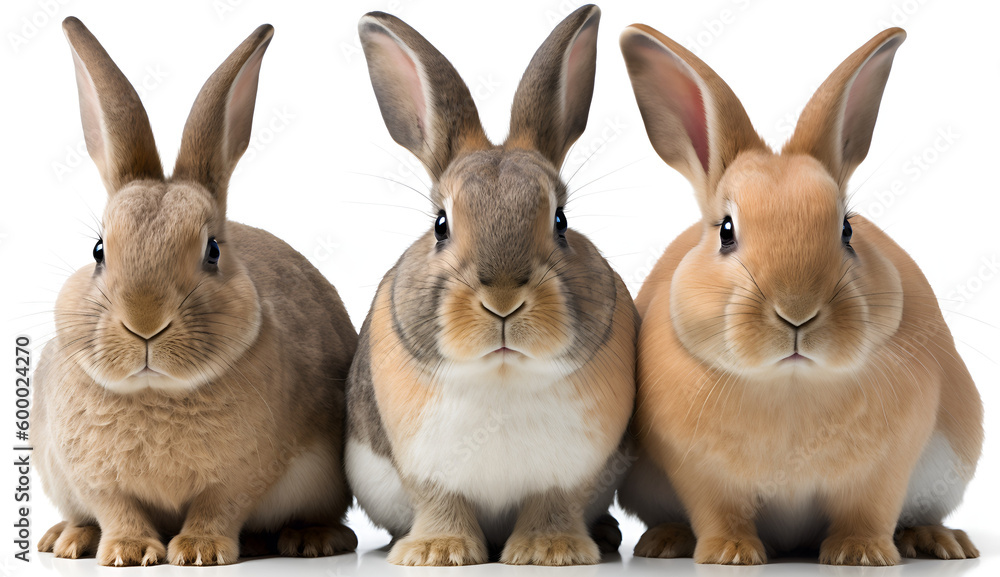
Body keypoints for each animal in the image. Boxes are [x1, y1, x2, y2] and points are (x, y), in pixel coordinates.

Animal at [33, 18, 359, 566]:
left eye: (212, 251)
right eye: (98, 251)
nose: (145, 322)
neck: (156, 390)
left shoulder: (239, 478)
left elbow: (218, 507)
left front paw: (199, 552)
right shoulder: (97, 481)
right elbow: (117, 508)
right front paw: (128, 553)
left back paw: (309, 540)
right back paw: (68, 539)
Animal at [345, 5, 638, 567]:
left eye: (561, 220)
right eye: (441, 224)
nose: (503, 300)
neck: (503, 374)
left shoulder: (569, 474)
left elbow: (552, 504)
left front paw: (550, 552)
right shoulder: (428, 471)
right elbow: (442, 503)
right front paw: (436, 552)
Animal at [616, 24, 983, 566]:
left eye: (847, 230)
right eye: (726, 231)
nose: (797, 312)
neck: (789, 383)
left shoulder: (886, 469)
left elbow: (870, 510)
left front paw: (861, 554)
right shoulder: (701, 476)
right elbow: (718, 513)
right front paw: (729, 554)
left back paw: (939, 540)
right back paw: (666, 540)